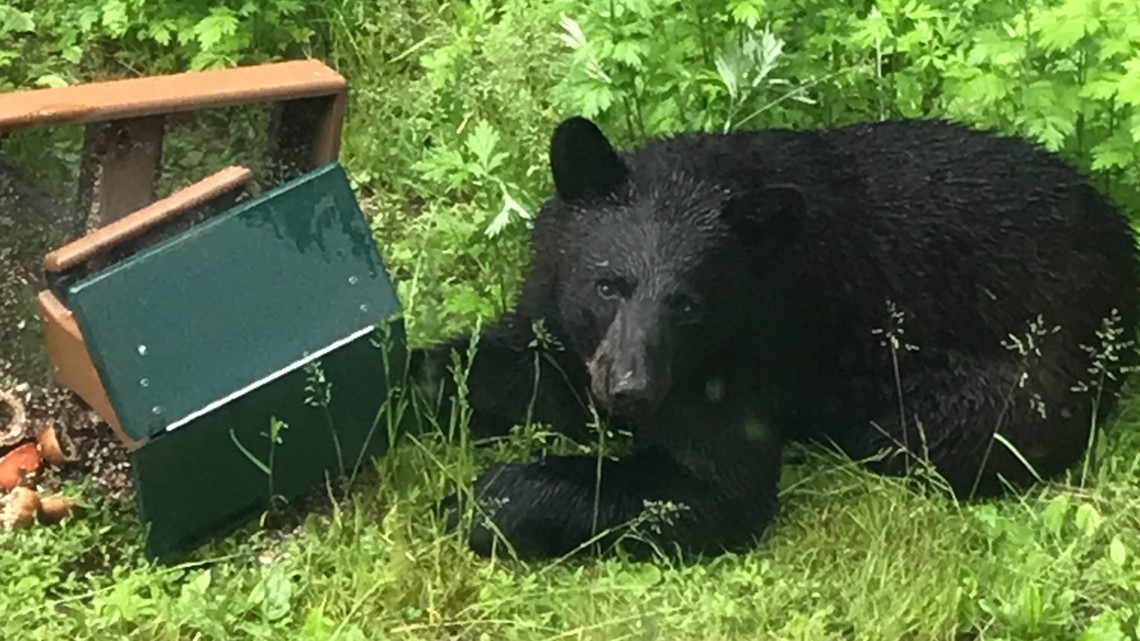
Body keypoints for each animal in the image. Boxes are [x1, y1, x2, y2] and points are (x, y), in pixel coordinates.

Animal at [409, 115, 1140, 561]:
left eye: (689, 304)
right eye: (608, 284)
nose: (629, 390)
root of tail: (1120, 241)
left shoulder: (752, 344)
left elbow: (715, 487)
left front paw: (476, 499)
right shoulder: (562, 323)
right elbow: (508, 363)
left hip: (1026, 372)